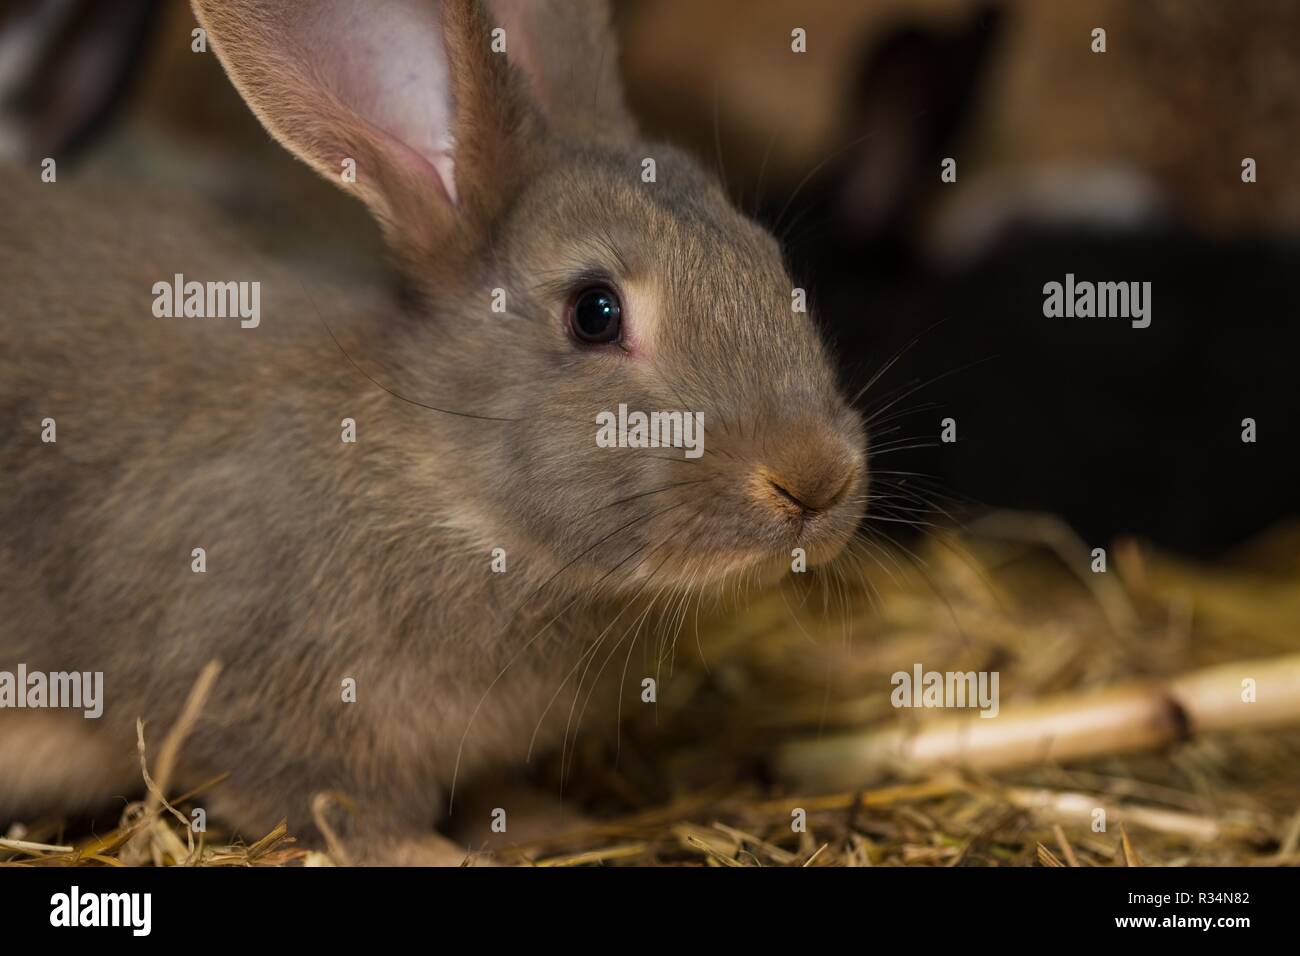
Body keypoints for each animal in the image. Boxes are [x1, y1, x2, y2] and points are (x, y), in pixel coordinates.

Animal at [0, 0, 867, 865]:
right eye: (595, 312)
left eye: (770, 258)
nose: (816, 479)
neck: (448, 494)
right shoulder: (256, 703)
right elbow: (332, 807)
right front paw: (444, 853)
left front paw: (547, 823)